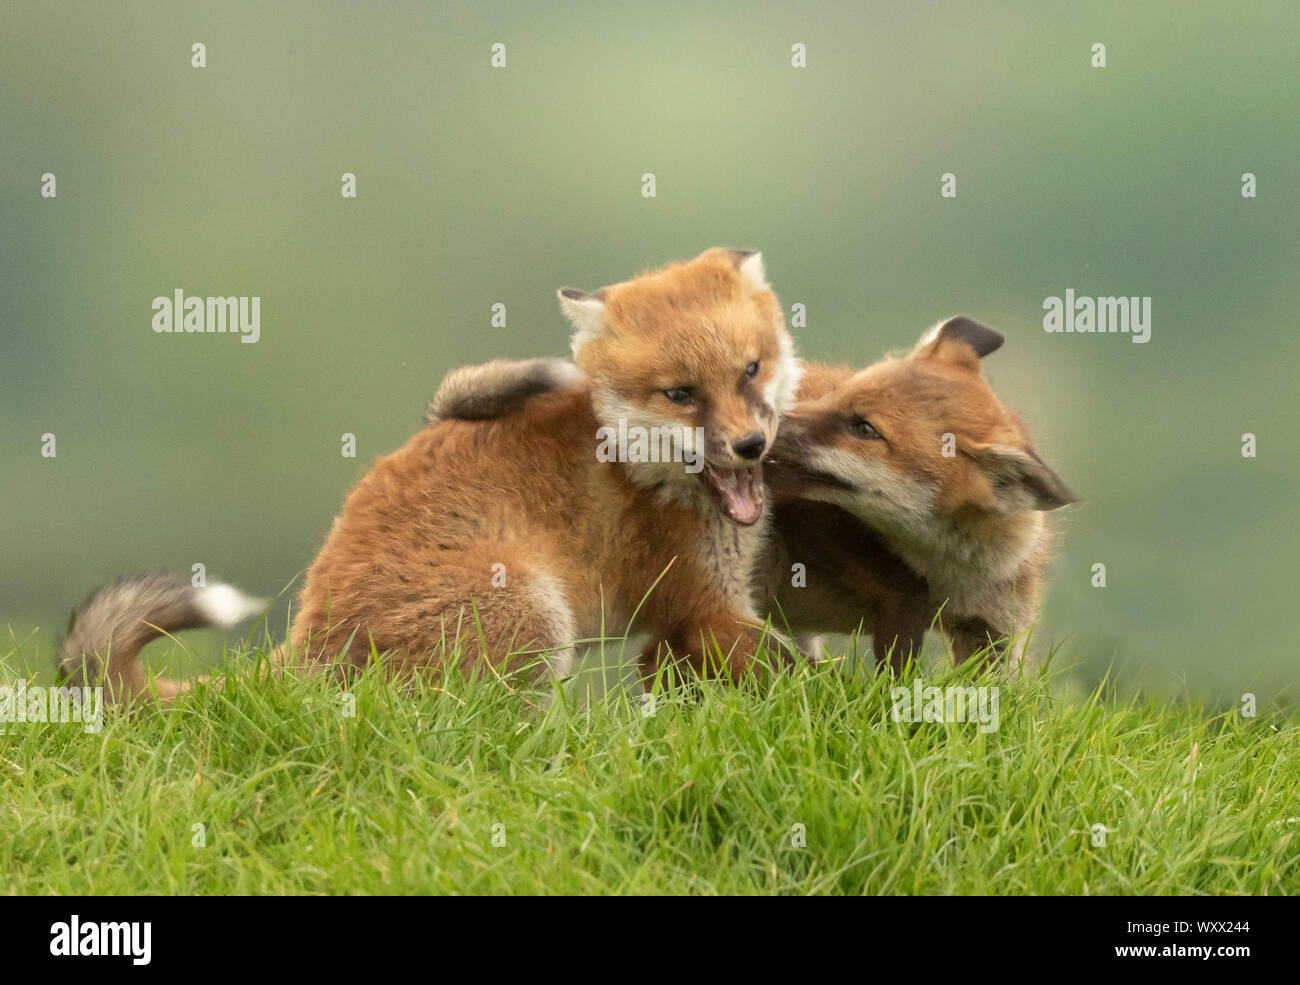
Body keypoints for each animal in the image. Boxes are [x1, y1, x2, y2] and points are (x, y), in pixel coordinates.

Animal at [60, 247, 802, 703]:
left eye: (751, 369)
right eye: (680, 394)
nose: (750, 444)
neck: (638, 470)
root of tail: (305, 639)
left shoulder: (685, 623)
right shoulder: (702, 604)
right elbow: (795, 675)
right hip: (531, 619)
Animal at [426, 316, 1076, 672]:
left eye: (865, 428)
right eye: (842, 400)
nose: (759, 437)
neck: (952, 570)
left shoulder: (996, 636)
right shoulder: (810, 523)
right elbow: (898, 612)